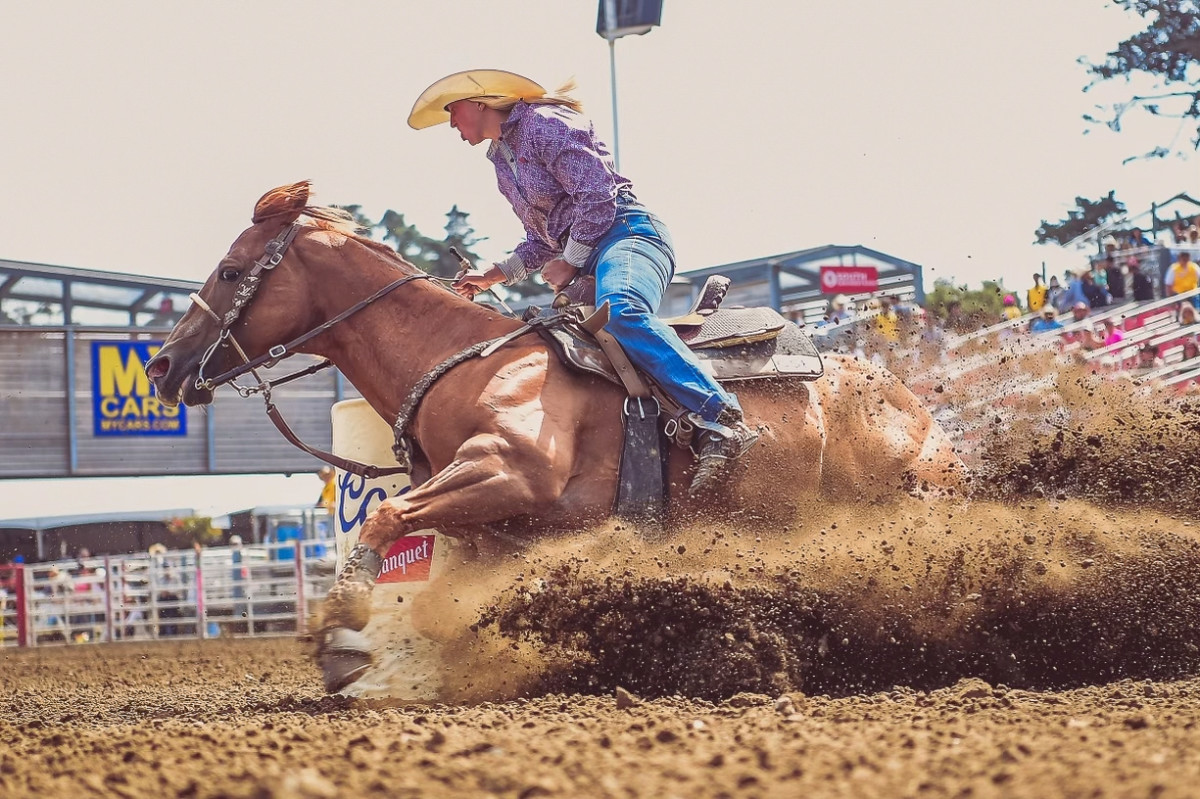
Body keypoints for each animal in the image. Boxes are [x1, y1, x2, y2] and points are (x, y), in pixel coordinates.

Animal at [146, 182, 966, 690]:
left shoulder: (507, 470)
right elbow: (444, 585)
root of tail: (915, 406)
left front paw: (344, 631)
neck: (468, 361)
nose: (160, 365)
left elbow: (384, 515)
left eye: (230, 271)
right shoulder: (492, 528)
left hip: (900, 513)